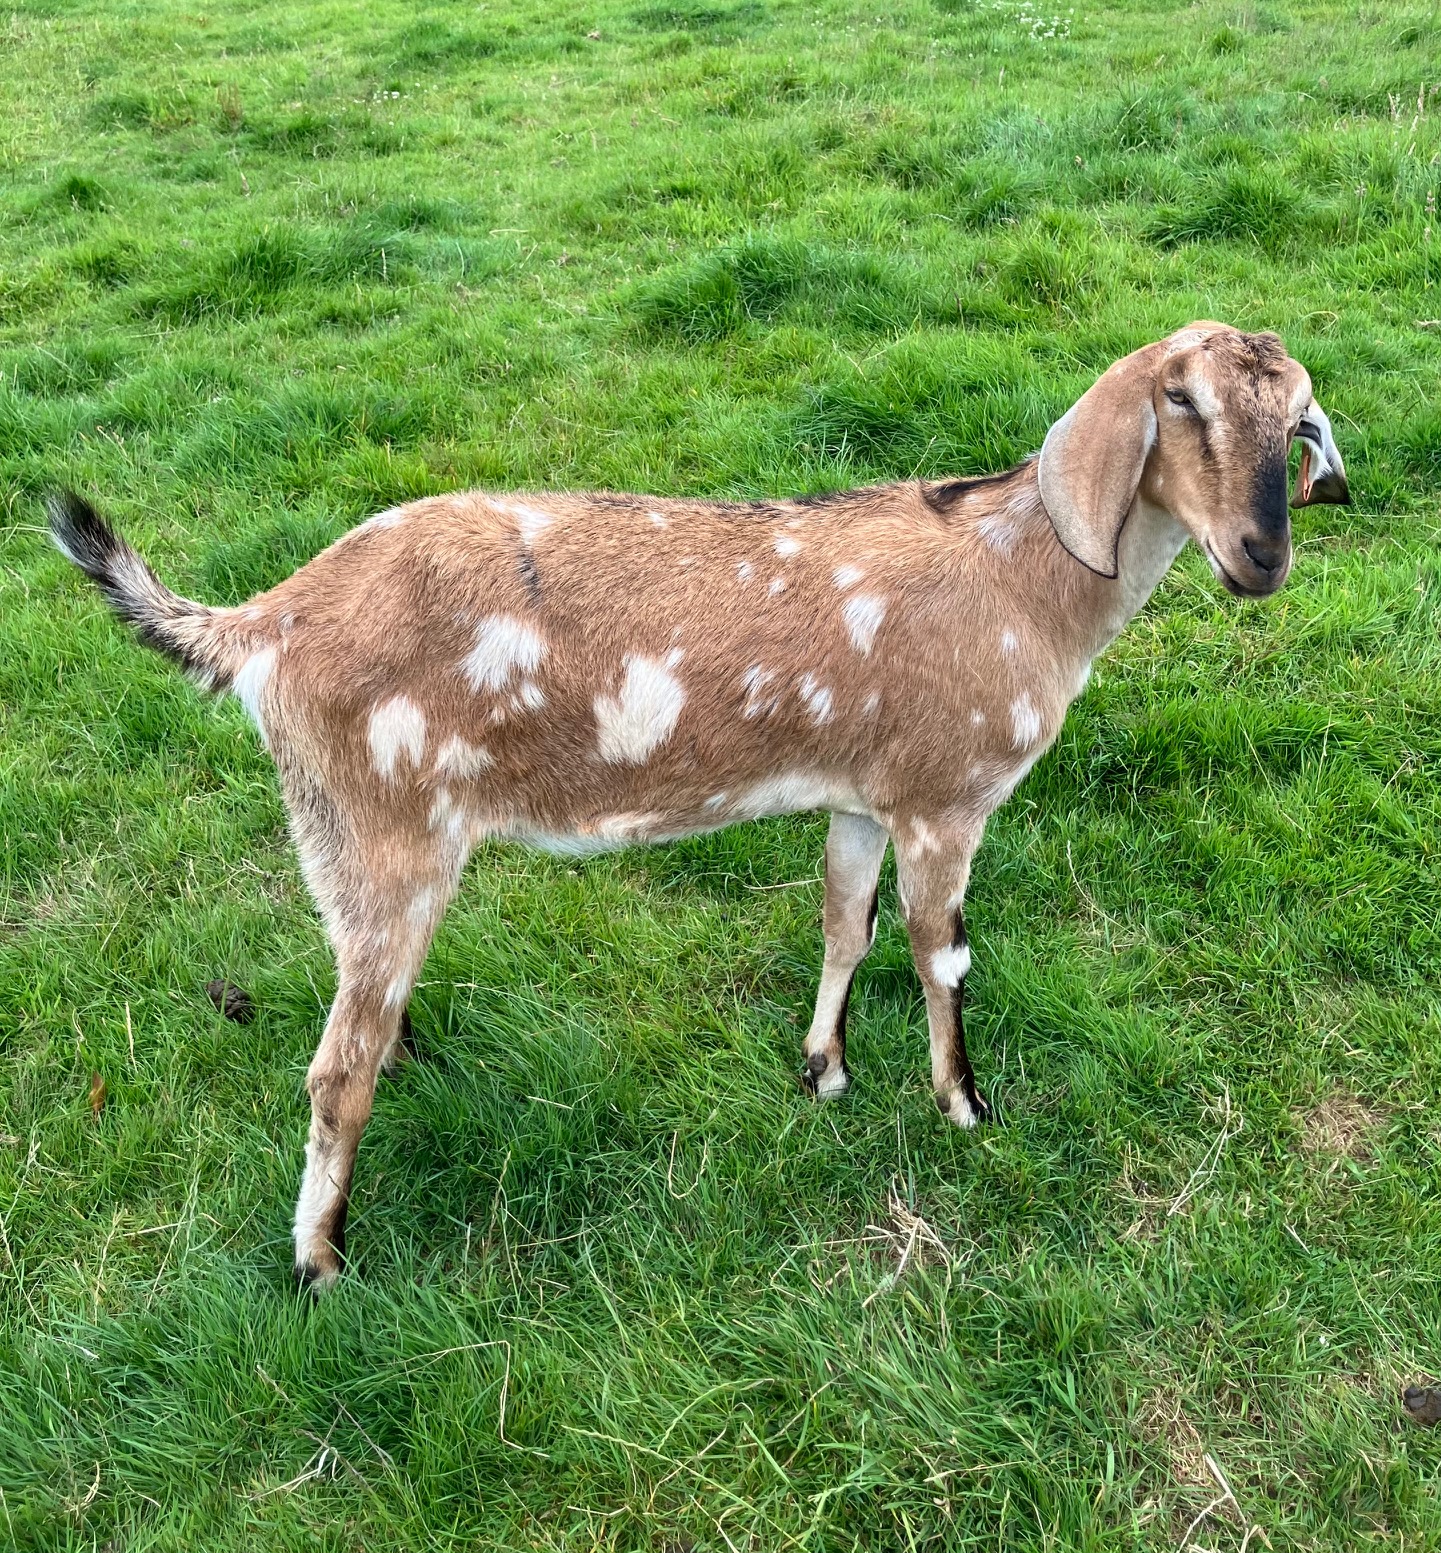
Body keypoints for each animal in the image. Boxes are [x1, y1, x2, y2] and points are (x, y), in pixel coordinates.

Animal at [48, 321, 1348, 1288]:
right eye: (1178, 401)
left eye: (1297, 419)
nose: (1260, 557)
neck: (1022, 576)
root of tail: (263, 622)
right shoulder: (947, 795)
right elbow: (940, 953)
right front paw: (965, 1103)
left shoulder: (864, 792)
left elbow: (844, 922)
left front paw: (823, 1069)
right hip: (394, 831)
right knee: (334, 1068)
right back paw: (319, 1257)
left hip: (333, 831)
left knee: (356, 1011)